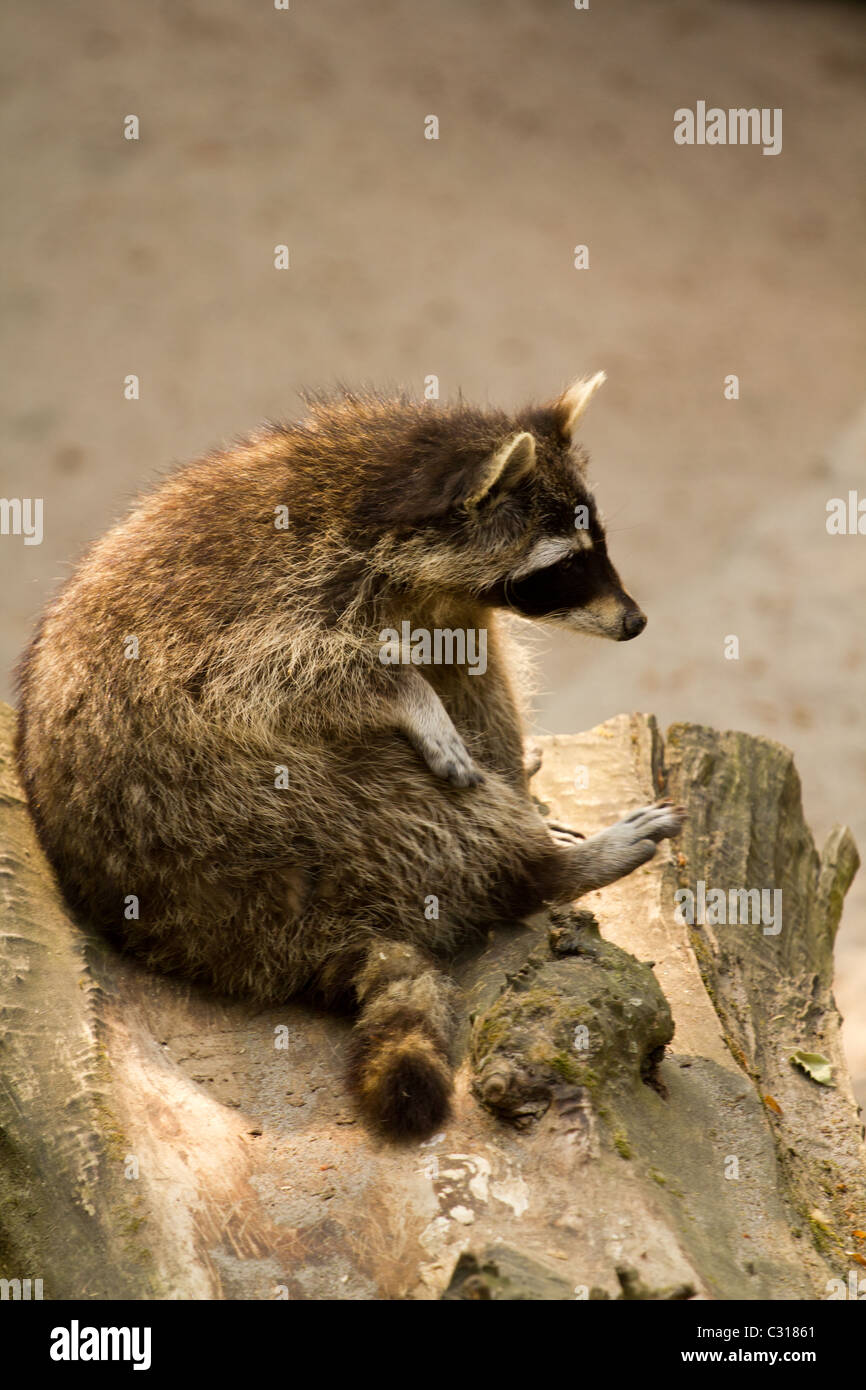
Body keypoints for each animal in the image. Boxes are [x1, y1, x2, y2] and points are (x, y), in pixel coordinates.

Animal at [15, 373, 683, 1138]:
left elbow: (477, 683)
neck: (389, 482)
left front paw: (516, 775)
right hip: (226, 821)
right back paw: (539, 867)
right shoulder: (262, 599)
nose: (635, 622)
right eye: (563, 566)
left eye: (597, 543)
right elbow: (267, 680)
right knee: (389, 796)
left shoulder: (451, 610)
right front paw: (407, 695)